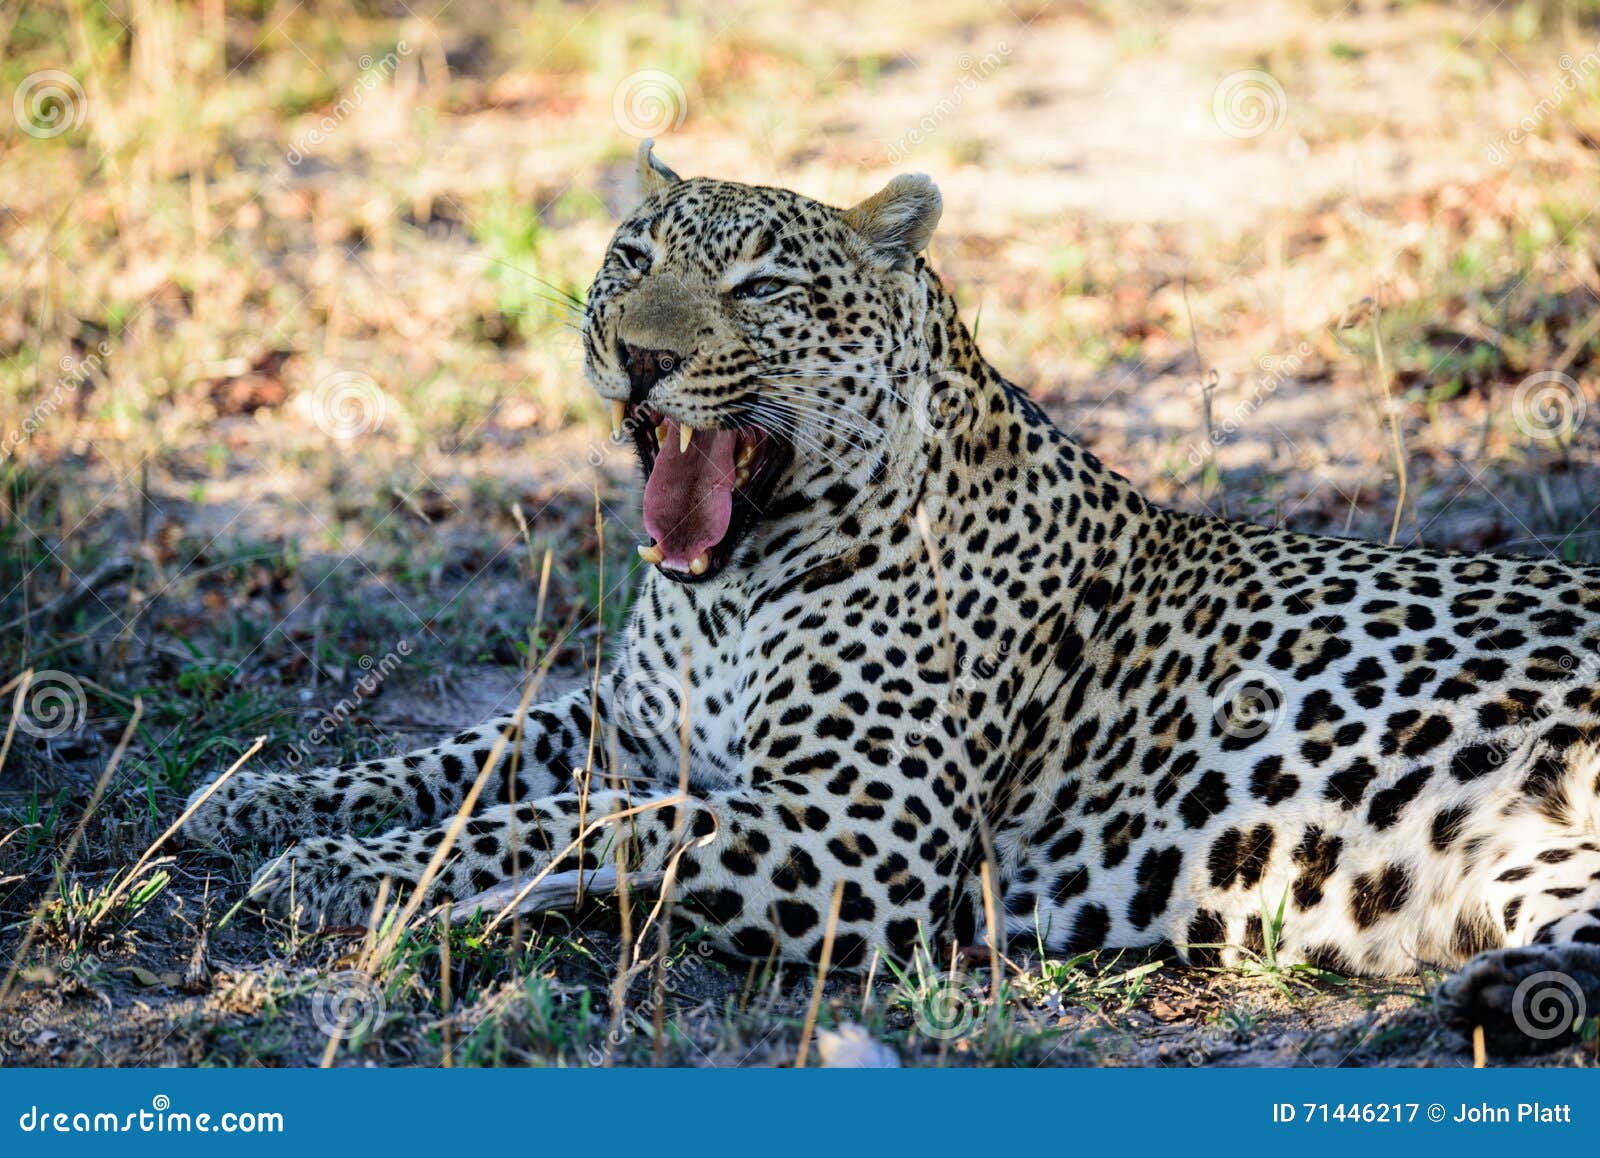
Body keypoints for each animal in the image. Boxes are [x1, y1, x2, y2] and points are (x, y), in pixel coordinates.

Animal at [185, 142, 1600, 1053]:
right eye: (630, 257)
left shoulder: (857, 837)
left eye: (761, 285)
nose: (637, 353)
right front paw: (255, 803)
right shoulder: (626, 721)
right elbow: (459, 757)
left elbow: (588, 820)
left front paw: (343, 871)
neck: (730, 594)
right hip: (1540, 863)